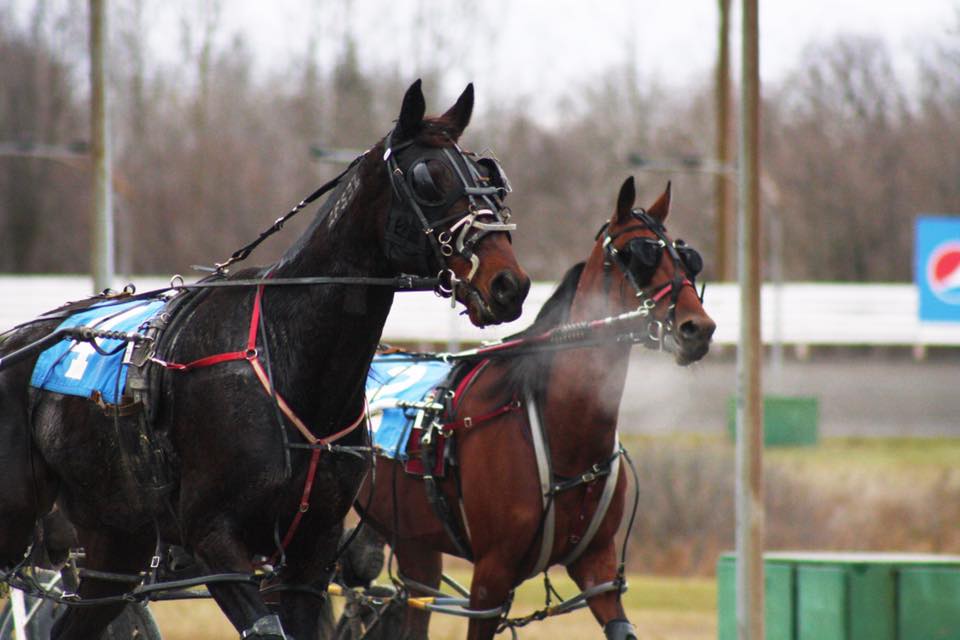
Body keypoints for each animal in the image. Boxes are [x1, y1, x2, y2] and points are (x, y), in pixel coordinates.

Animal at [0, 79, 530, 640]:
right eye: (428, 177)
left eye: (487, 177)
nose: (508, 284)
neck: (290, 354)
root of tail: (15, 343)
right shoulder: (213, 541)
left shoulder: (310, 551)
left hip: (115, 540)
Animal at [351, 177, 715, 640]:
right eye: (641, 256)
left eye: (687, 259)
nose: (698, 329)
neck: (562, 430)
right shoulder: (490, 579)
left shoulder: (597, 566)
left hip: (414, 542)